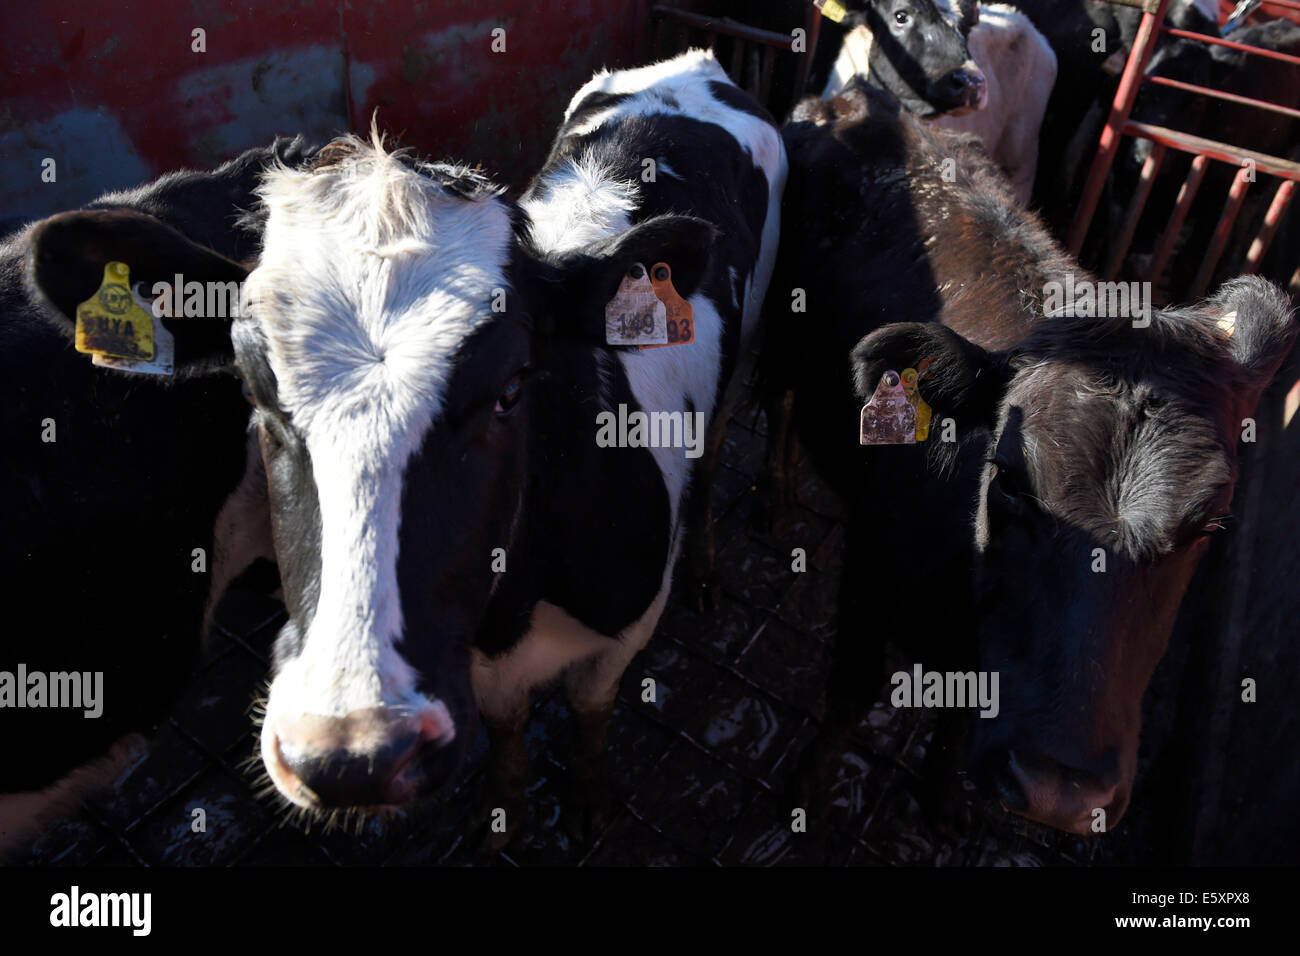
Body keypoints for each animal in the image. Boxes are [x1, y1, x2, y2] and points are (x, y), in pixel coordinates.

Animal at [33, 50, 786, 846]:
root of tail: (688, 63)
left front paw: (586, 802)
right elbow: (507, 727)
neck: (519, 609)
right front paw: (506, 811)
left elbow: (589, 714)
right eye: (252, 391)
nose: (352, 754)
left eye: (511, 387)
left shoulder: (626, 625)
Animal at [762, 80, 1297, 835]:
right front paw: (808, 787)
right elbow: (852, 689)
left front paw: (942, 801)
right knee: (773, 403)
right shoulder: (868, 567)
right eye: (1009, 481)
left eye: (1208, 528)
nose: (1058, 789)